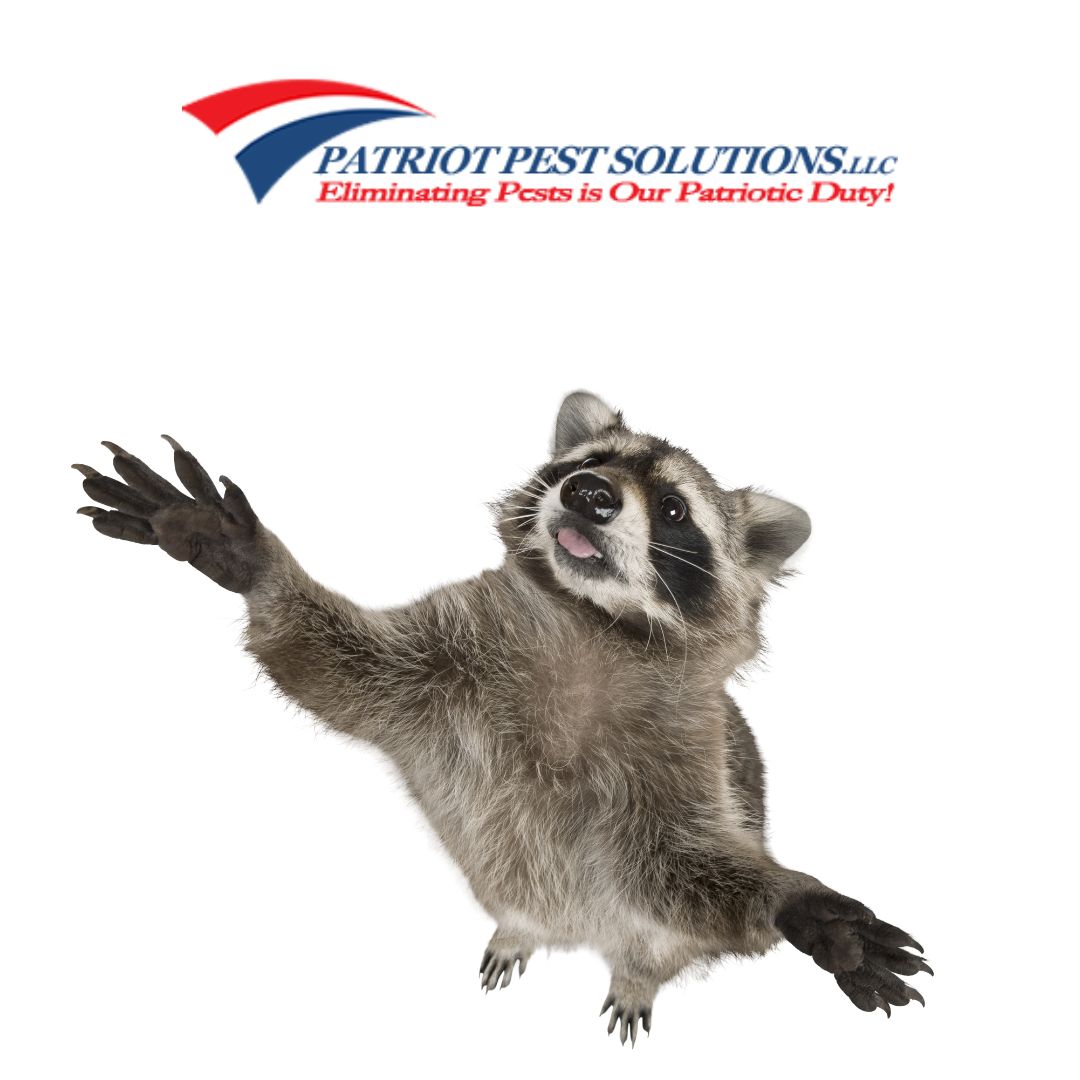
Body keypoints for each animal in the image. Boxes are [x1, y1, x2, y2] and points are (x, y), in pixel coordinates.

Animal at [72, 391, 929, 1044]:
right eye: (582, 464)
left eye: (675, 508)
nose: (589, 493)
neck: (588, 624)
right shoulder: (441, 665)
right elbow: (332, 662)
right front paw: (247, 558)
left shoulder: (686, 755)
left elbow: (687, 870)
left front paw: (799, 901)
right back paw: (521, 928)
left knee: (660, 939)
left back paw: (636, 975)